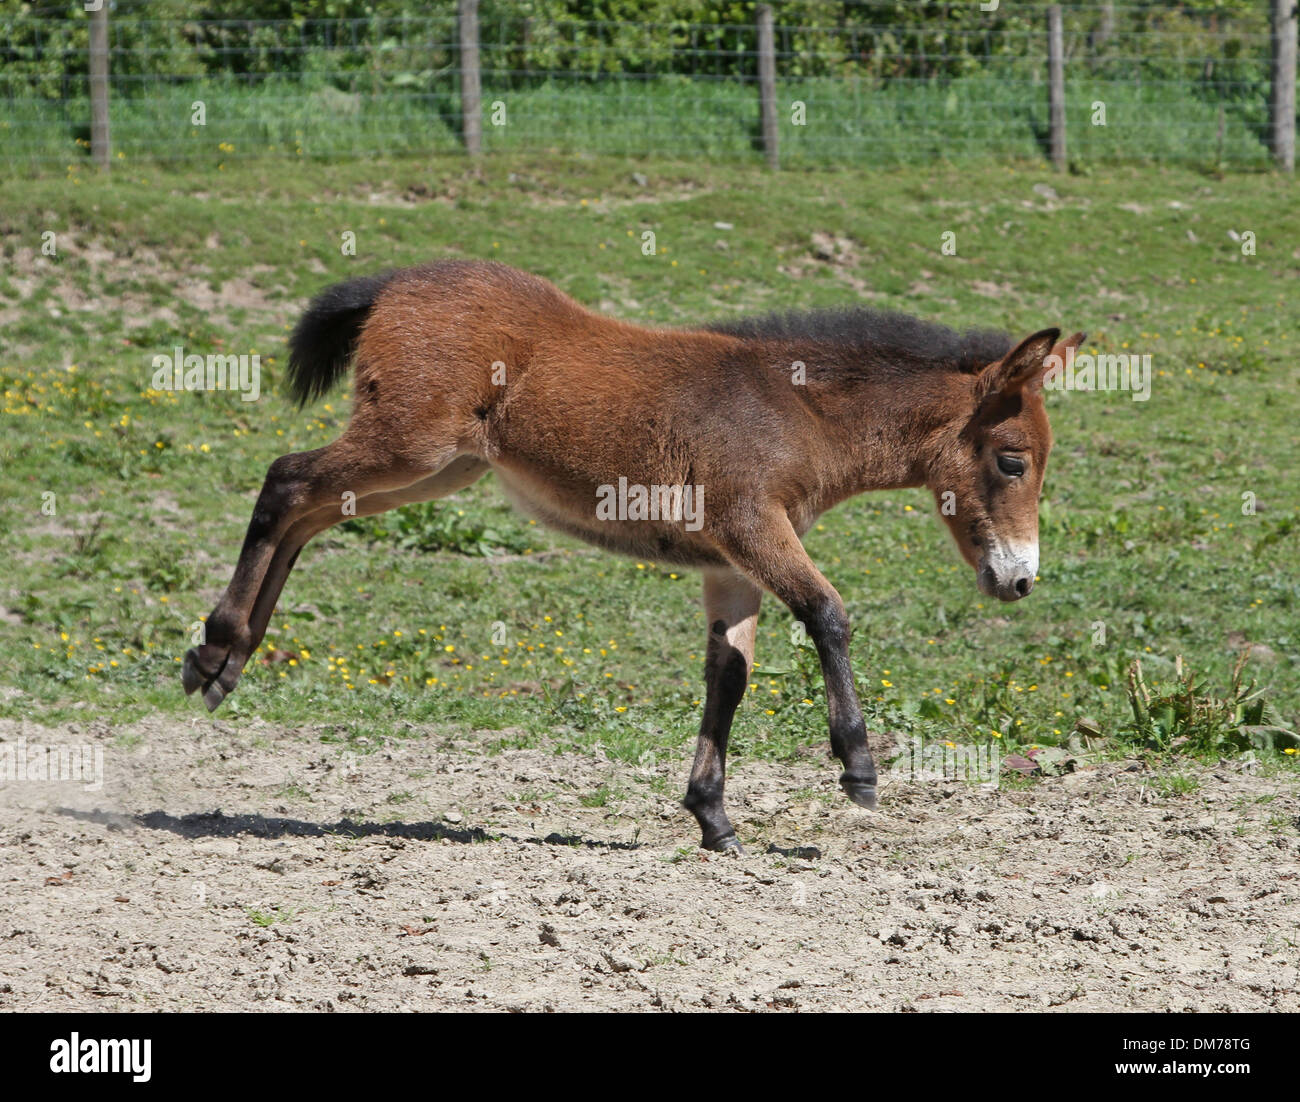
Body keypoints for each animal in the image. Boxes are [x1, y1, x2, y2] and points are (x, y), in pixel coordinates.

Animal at [182, 259, 1083, 852]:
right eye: (1012, 460)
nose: (1019, 578)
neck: (794, 409)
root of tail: (399, 283)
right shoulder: (754, 526)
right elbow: (828, 614)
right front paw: (858, 769)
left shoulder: (730, 566)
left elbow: (729, 677)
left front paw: (713, 818)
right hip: (411, 445)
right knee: (286, 480)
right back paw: (219, 646)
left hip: (439, 468)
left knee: (306, 511)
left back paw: (223, 659)